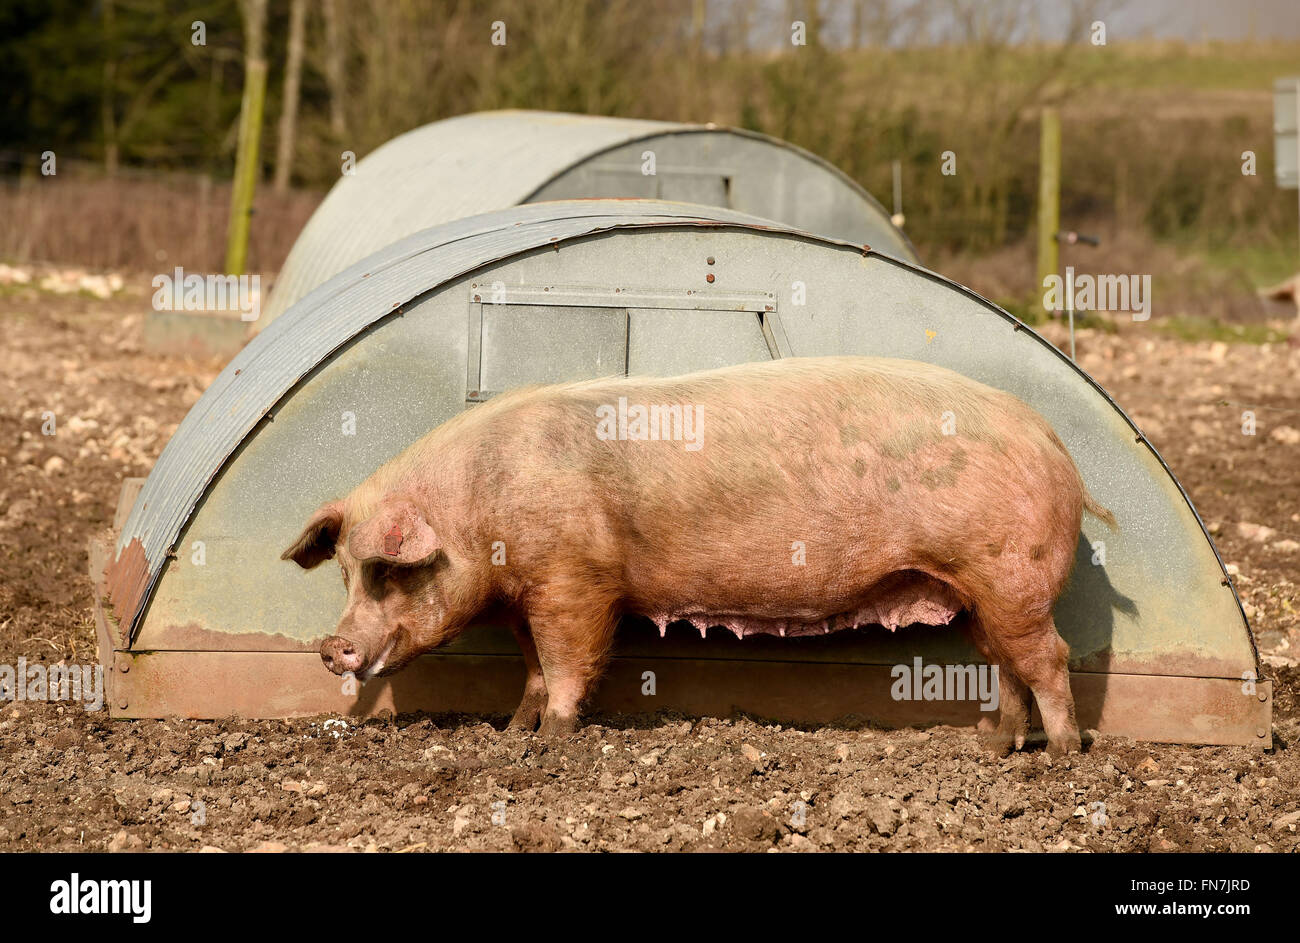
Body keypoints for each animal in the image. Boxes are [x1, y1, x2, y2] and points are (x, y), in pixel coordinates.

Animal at [283, 355, 1114, 756]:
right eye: (346, 572)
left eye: (388, 571)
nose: (331, 645)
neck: (478, 510)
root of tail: (1056, 446)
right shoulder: (524, 596)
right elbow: (531, 666)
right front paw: (511, 732)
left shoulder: (576, 579)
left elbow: (569, 659)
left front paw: (549, 740)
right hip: (978, 591)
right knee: (1006, 663)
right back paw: (996, 745)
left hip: (1008, 572)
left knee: (1049, 656)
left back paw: (1064, 754)